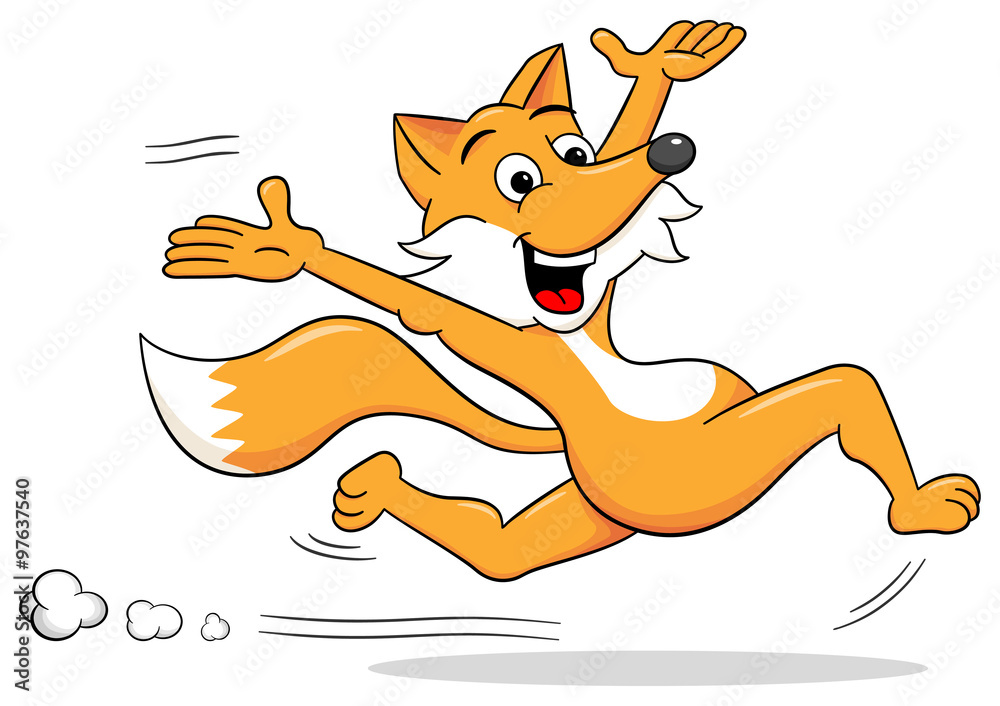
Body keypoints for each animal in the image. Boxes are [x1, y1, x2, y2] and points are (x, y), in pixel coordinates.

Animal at [143, 21, 980, 581]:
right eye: (520, 180)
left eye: (577, 153)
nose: (670, 153)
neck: (574, 332)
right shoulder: (495, 340)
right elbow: (418, 306)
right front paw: (284, 251)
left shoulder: (597, 294)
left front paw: (661, 68)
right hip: (694, 469)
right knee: (503, 552)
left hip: (605, 506)